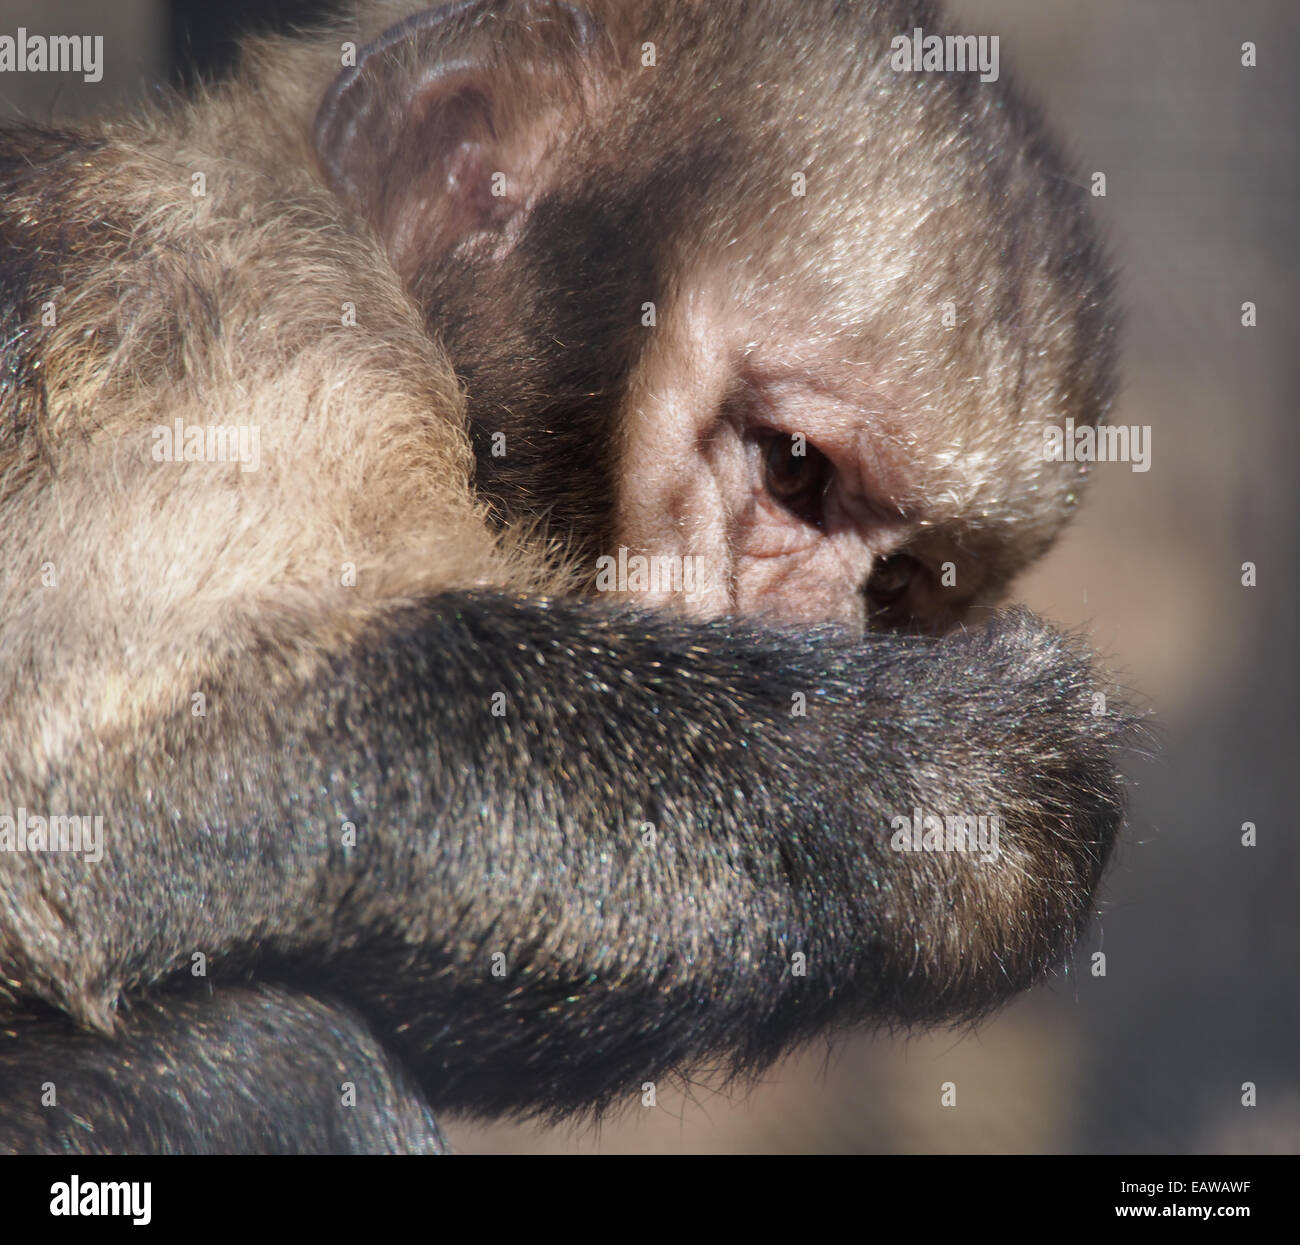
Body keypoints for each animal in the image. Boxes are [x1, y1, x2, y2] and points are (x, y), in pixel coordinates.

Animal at [0, 0, 1124, 1154]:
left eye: (899, 584)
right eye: (794, 470)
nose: (825, 636)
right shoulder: (254, 305)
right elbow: (93, 784)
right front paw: (963, 783)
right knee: (281, 1061)